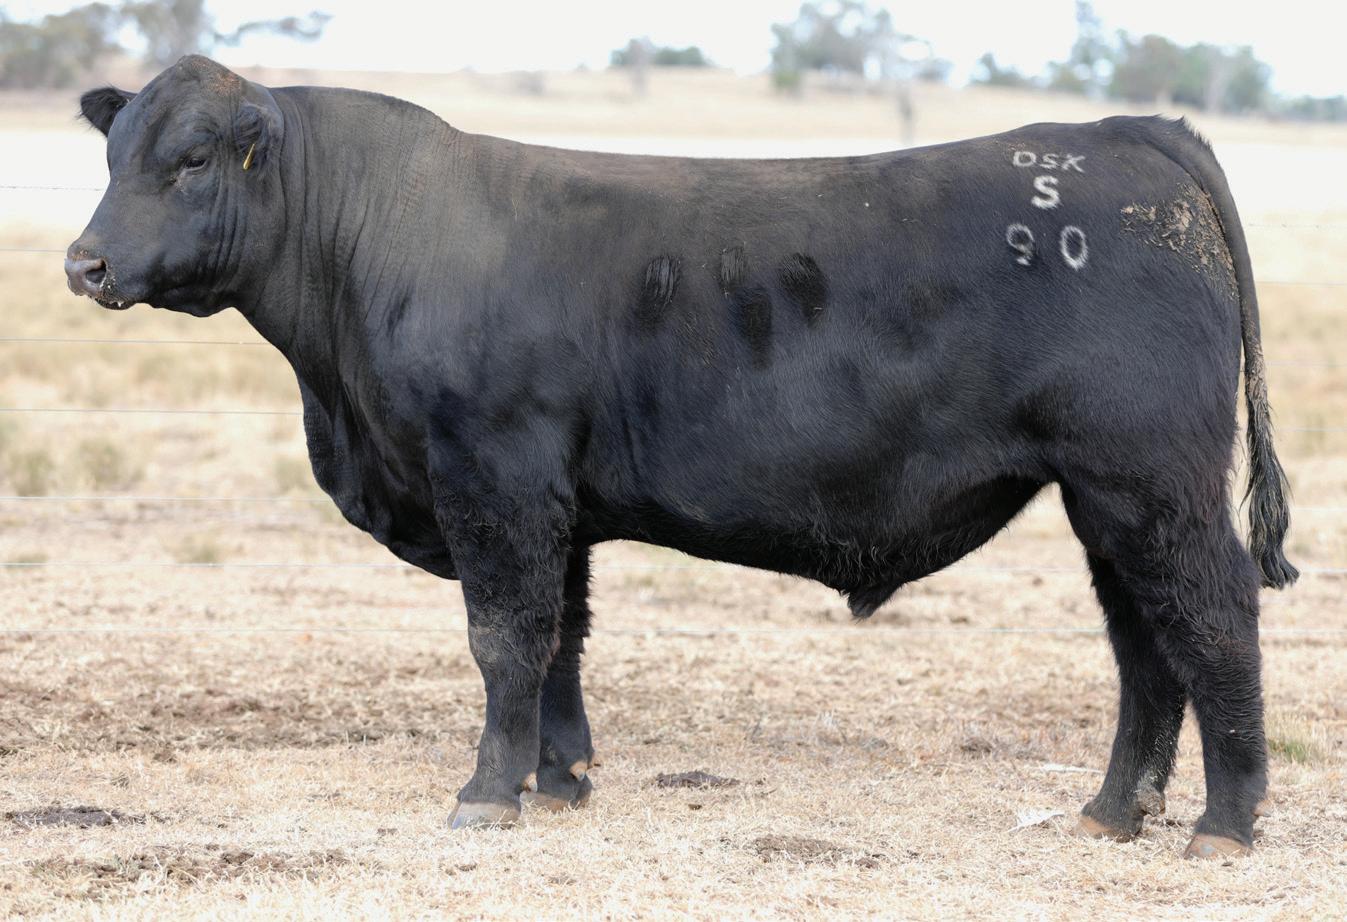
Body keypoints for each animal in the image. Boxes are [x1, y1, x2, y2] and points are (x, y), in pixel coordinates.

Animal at [65, 56, 1298, 859]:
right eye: (114, 156)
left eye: (189, 160)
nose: (84, 263)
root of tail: (1125, 132)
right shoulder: (554, 502)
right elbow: (559, 639)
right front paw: (560, 779)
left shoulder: (493, 477)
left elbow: (503, 638)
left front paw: (487, 792)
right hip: (1106, 499)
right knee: (1143, 643)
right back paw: (1114, 811)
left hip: (1153, 482)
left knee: (1211, 619)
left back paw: (1225, 825)